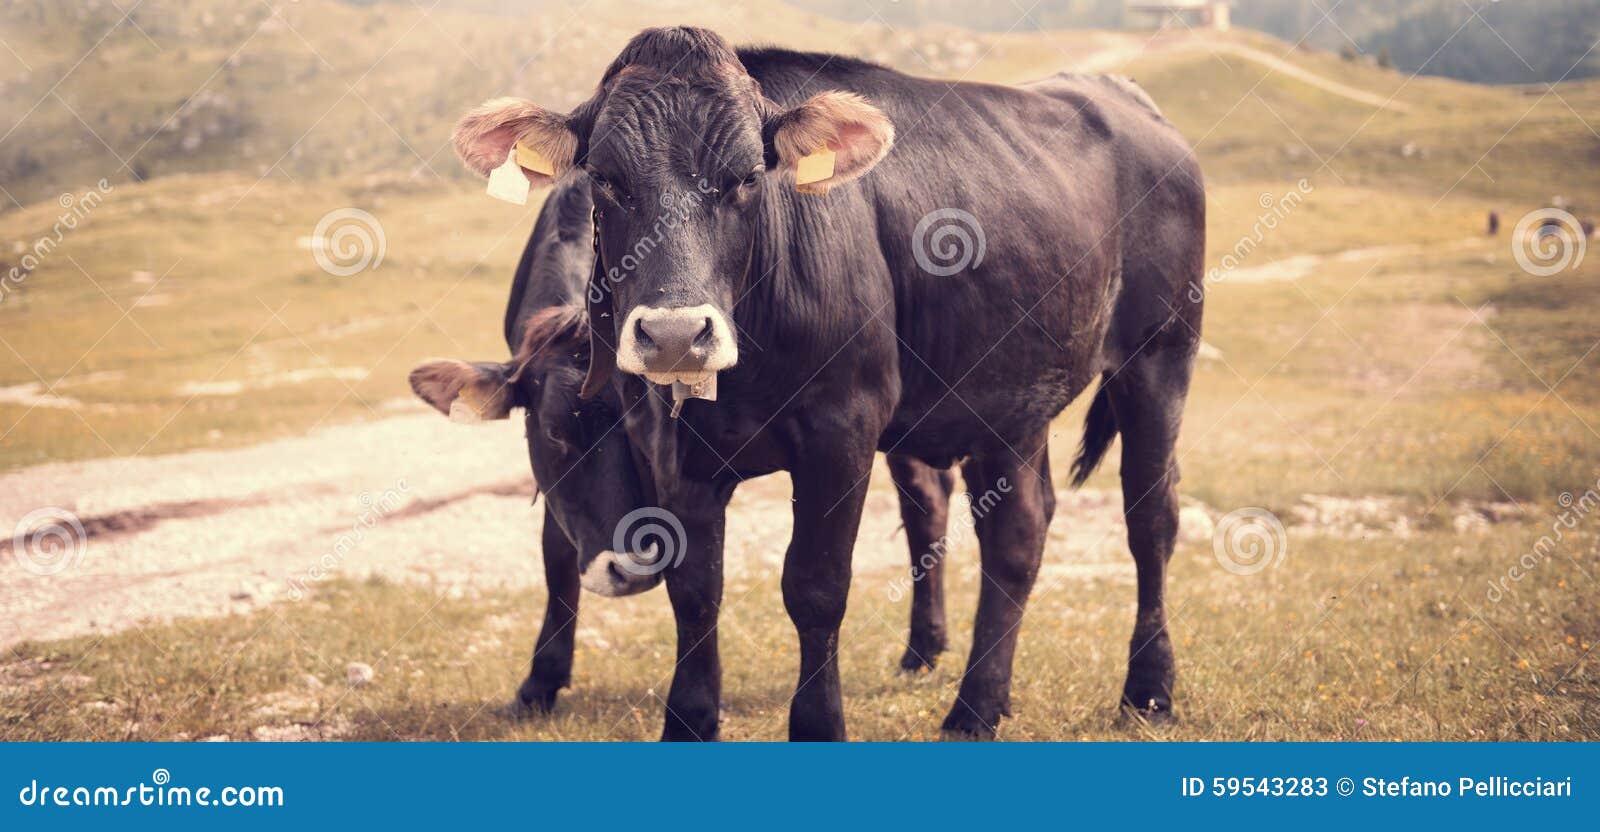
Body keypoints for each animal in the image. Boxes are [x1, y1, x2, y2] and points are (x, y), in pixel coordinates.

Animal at [409, 179, 962, 714]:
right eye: (553, 433)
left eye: (640, 431)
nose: (629, 569)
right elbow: (557, 553)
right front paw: (539, 682)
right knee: (926, 501)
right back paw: (923, 649)